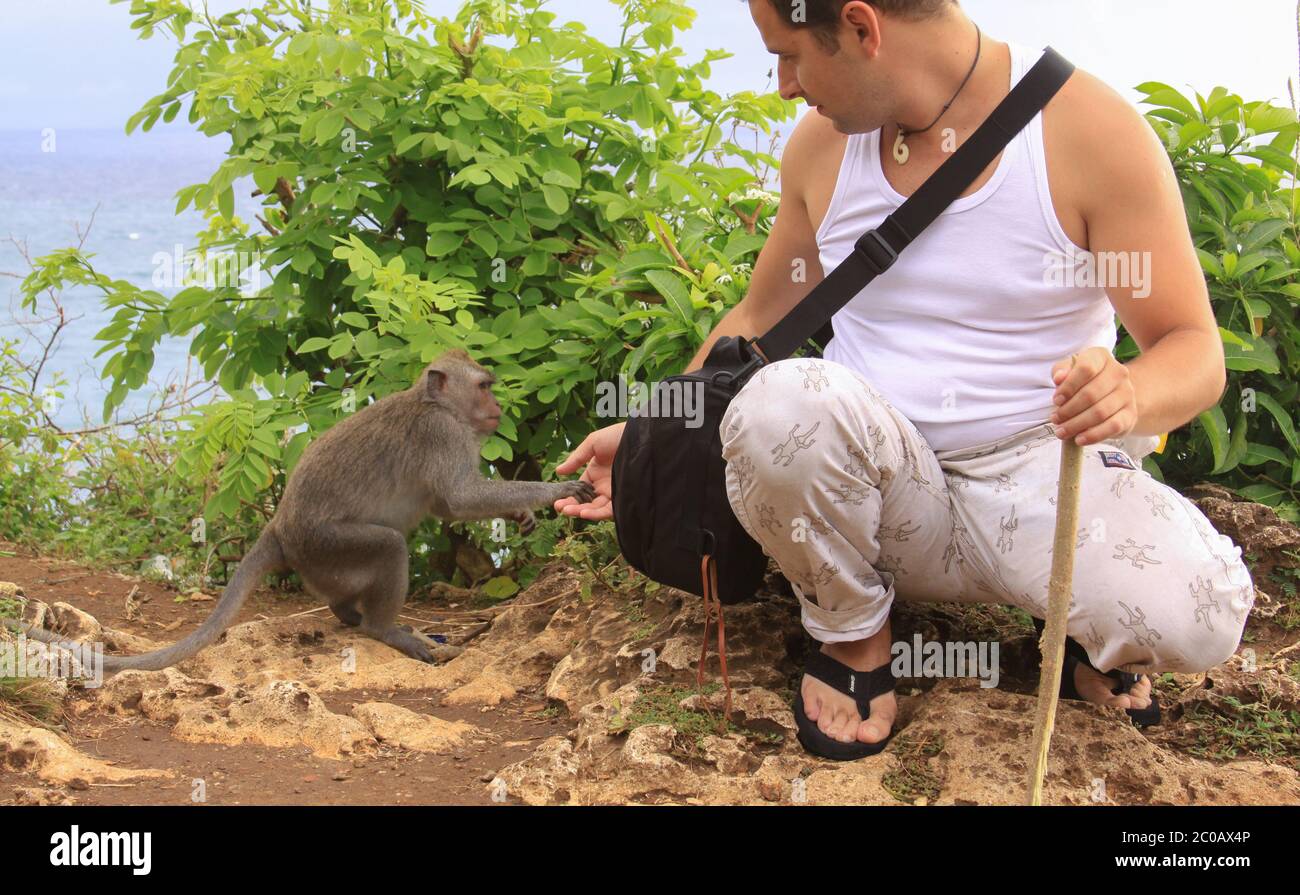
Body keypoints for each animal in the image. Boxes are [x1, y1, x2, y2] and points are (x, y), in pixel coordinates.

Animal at [12, 349, 595, 672]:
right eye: (484, 386)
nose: (497, 408)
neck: (434, 404)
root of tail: (278, 528)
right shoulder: (443, 435)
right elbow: (455, 499)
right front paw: (551, 491)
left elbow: (451, 505)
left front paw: (522, 516)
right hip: (326, 546)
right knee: (389, 545)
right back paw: (382, 630)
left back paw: (346, 613)